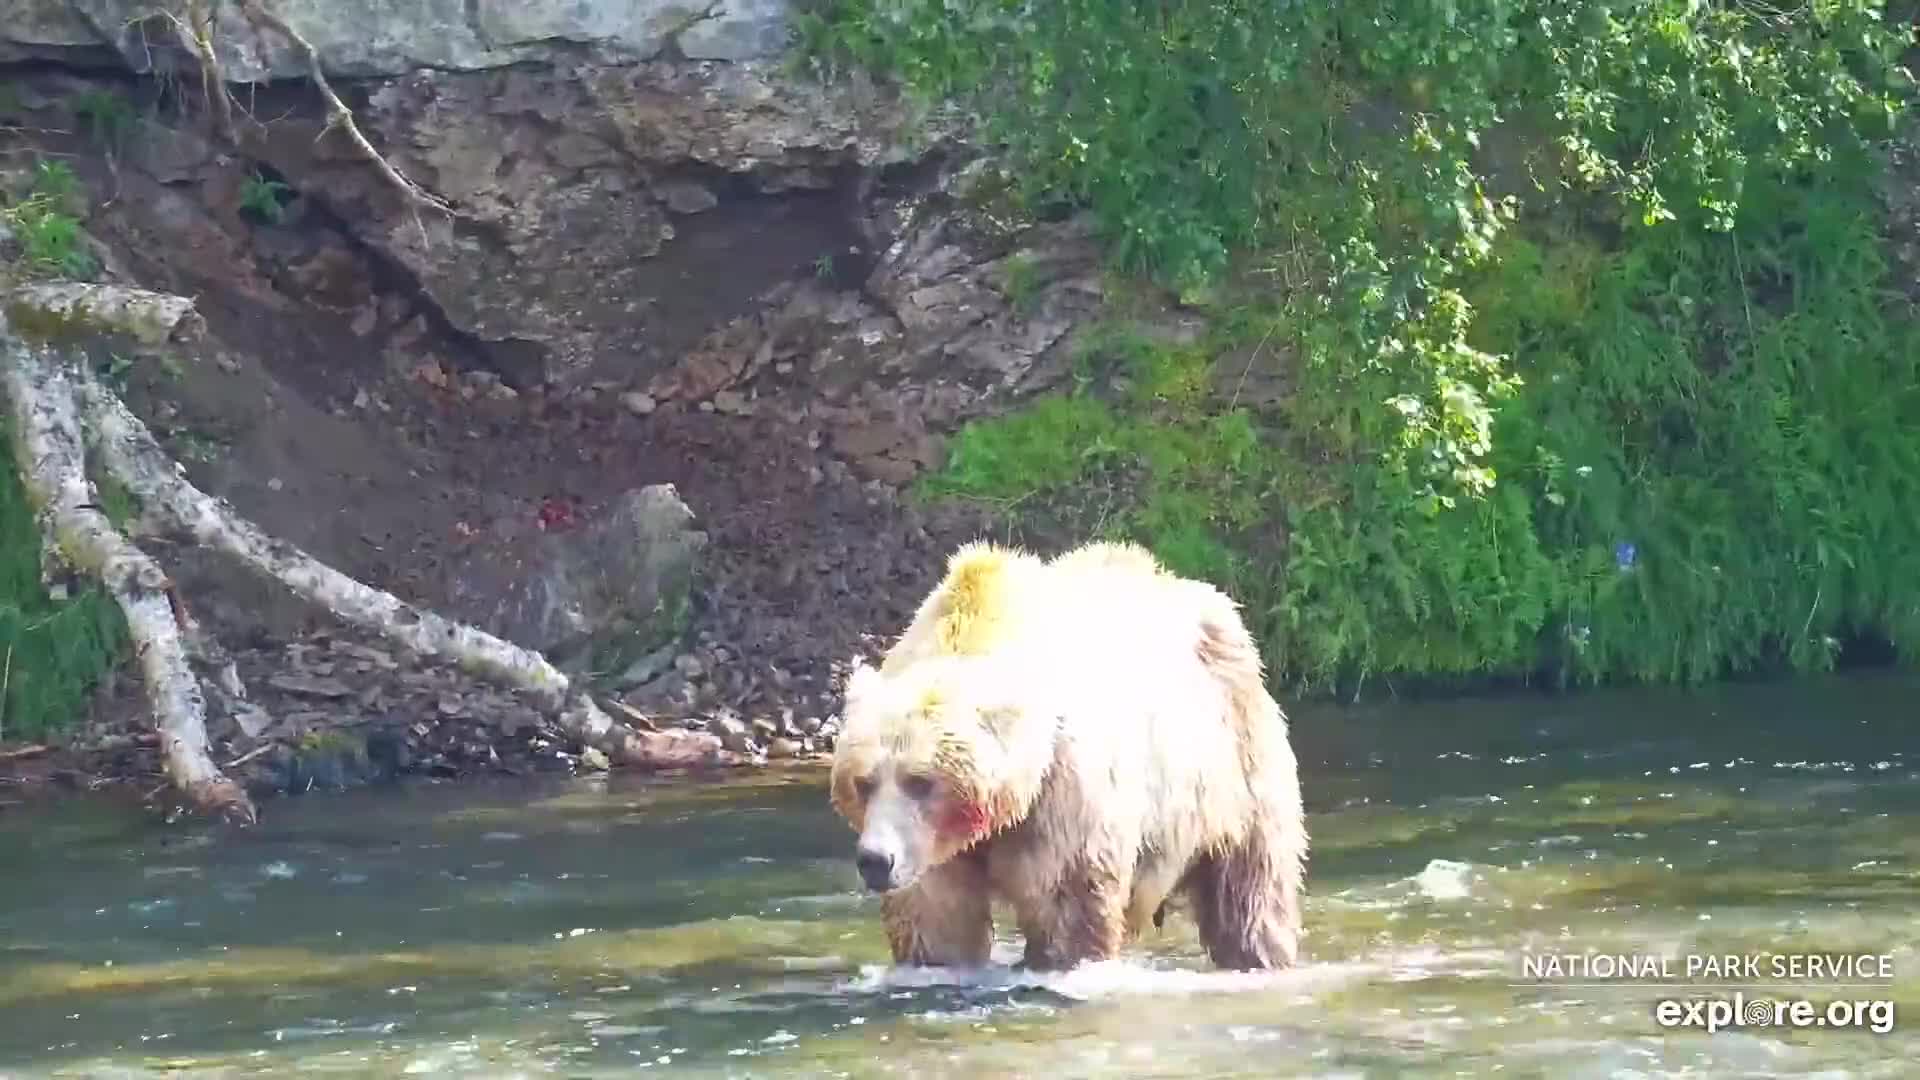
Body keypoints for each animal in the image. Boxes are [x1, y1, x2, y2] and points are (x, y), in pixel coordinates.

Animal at [828, 538, 1308, 972]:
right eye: (863, 782)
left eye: (920, 781)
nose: (875, 860)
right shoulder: (935, 850)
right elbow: (937, 917)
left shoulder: (1063, 794)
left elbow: (1068, 904)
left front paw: (1061, 960)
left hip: (1235, 768)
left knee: (1251, 891)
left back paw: (1259, 955)